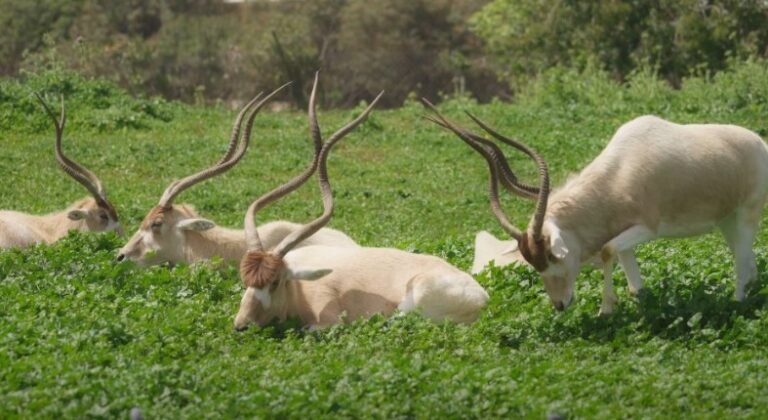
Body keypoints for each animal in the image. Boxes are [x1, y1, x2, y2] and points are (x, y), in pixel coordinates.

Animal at [233, 91, 488, 331]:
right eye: (246, 281)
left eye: (274, 282)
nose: (241, 325)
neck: (298, 285)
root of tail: (482, 297)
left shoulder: (327, 320)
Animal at [426, 102, 768, 315]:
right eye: (536, 267)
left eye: (553, 257)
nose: (560, 305)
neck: (619, 174)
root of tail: (760, 144)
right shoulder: (625, 232)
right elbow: (630, 273)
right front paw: (637, 303)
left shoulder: (647, 227)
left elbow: (606, 250)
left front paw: (606, 308)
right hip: (726, 220)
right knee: (744, 256)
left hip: (747, 214)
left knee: (741, 262)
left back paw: (737, 301)